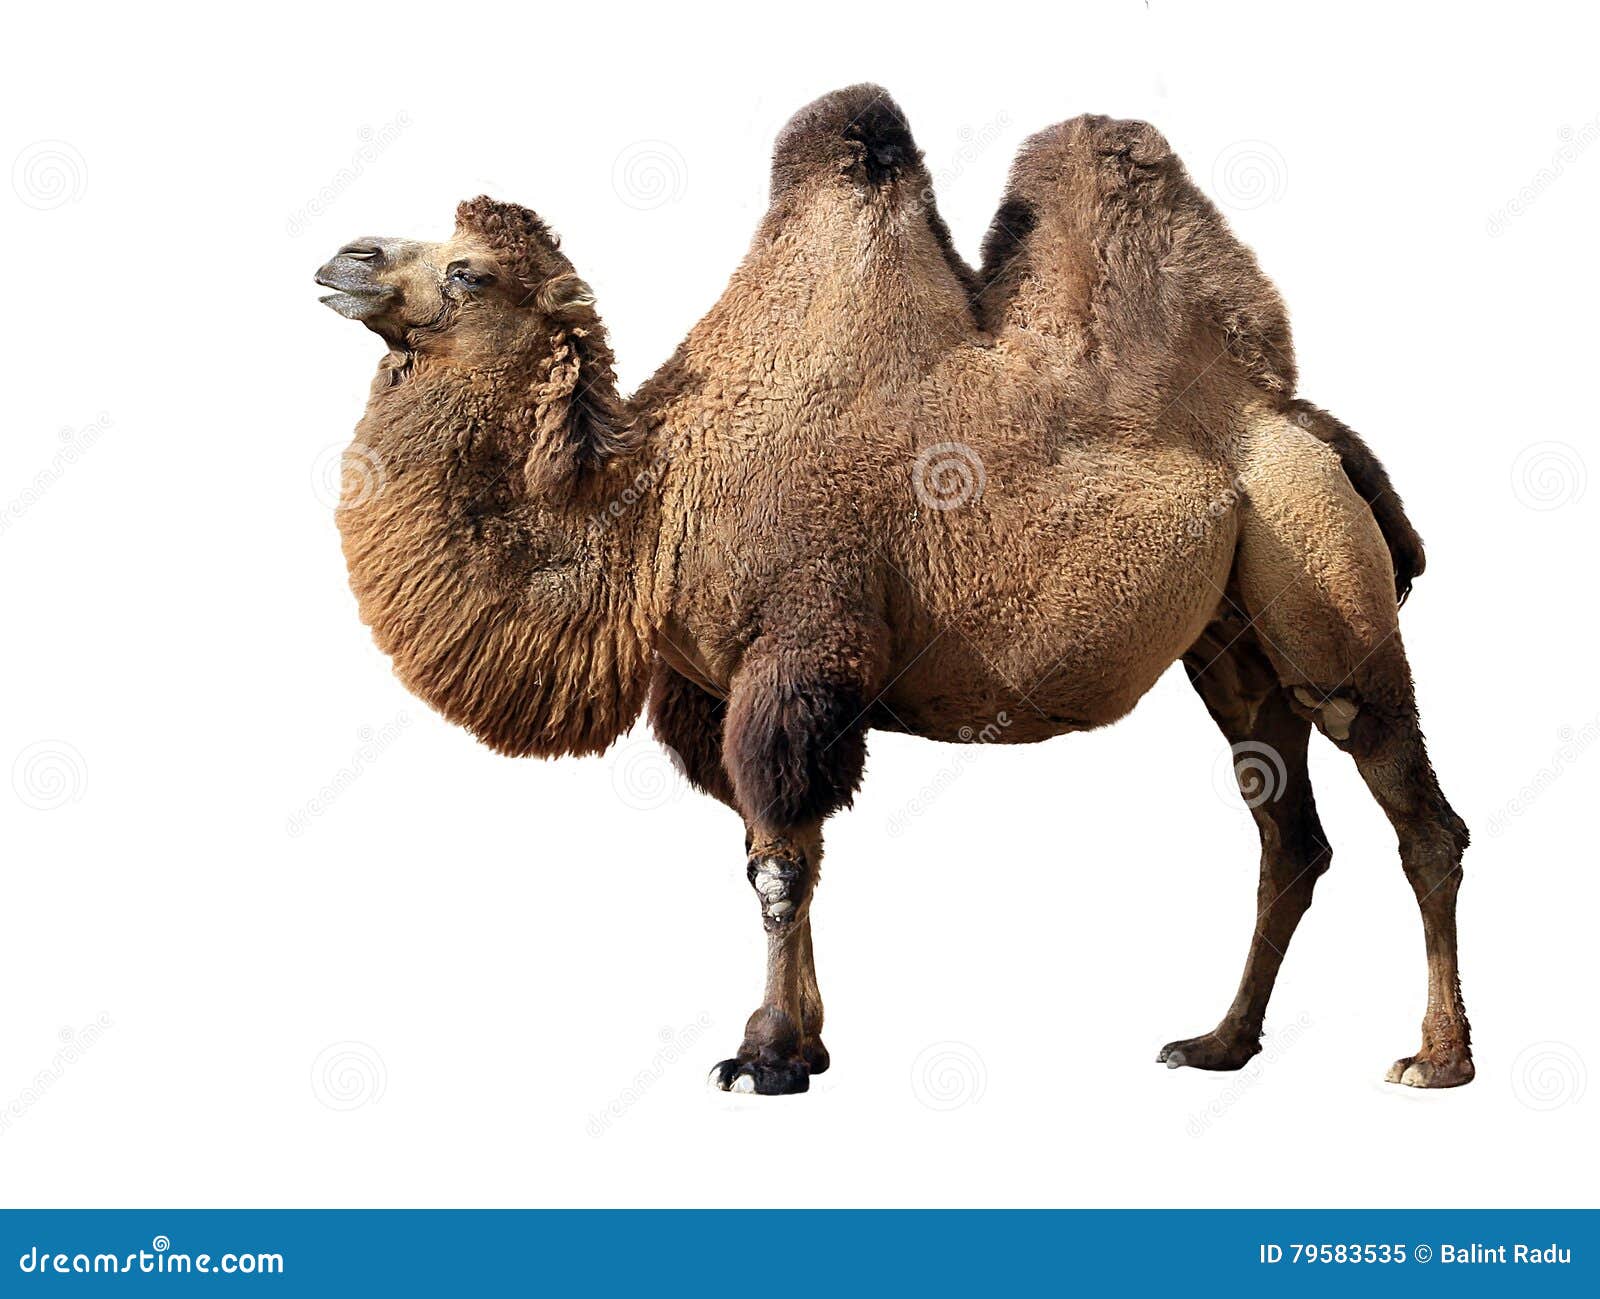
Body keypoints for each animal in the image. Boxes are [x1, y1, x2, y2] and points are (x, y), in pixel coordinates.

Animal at [315, 86, 1470, 1095]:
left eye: (469, 273)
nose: (344, 259)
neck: (649, 512)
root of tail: (1307, 428)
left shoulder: (797, 649)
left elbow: (778, 867)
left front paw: (765, 1058)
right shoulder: (729, 690)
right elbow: (792, 854)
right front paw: (806, 1041)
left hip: (1322, 579)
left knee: (1412, 807)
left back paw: (1435, 1059)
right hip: (1229, 640)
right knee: (1288, 835)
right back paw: (1220, 1043)